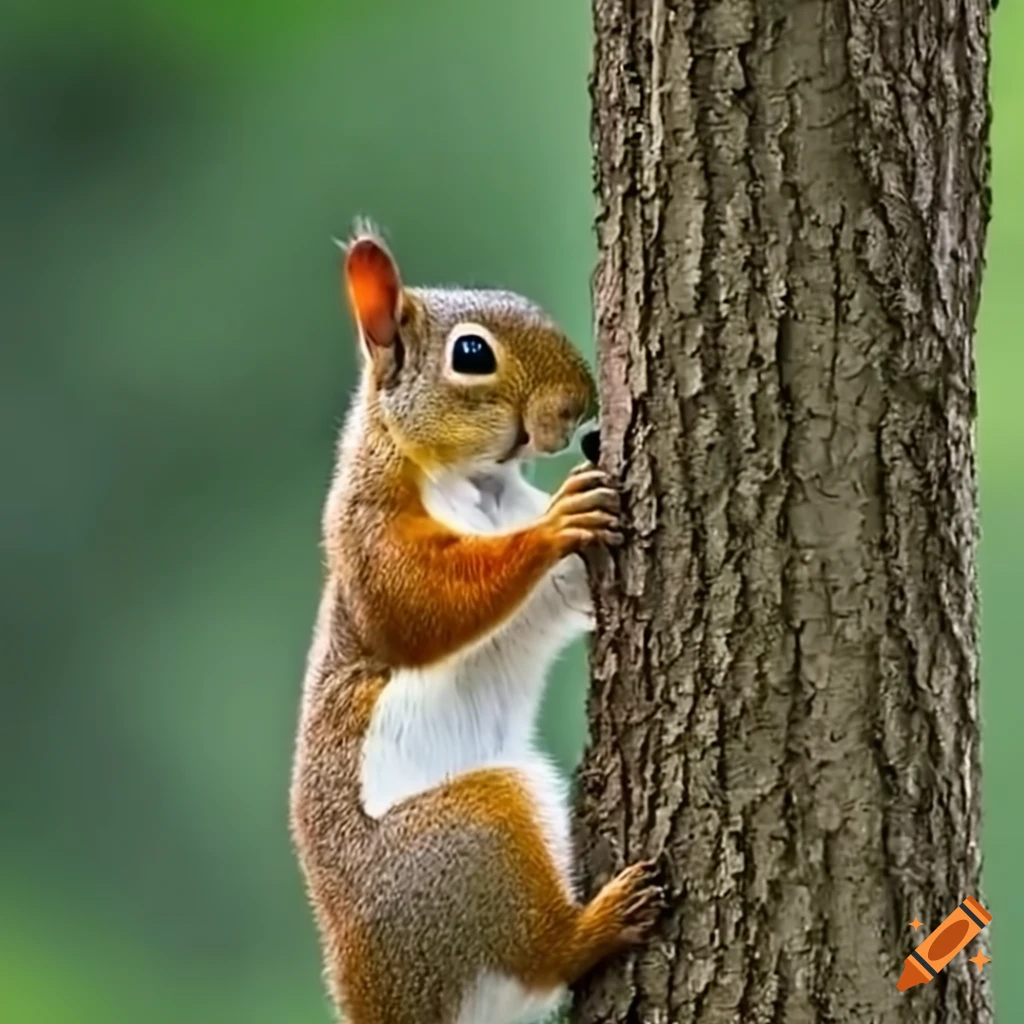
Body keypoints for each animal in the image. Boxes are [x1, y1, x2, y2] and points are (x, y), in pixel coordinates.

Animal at [289, 223, 665, 1024]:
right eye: (471, 355)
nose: (576, 409)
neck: (479, 485)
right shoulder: (370, 530)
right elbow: (419, 607)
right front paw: (559, 521)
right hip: (472, 836)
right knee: (541, 956)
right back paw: (601, 921)